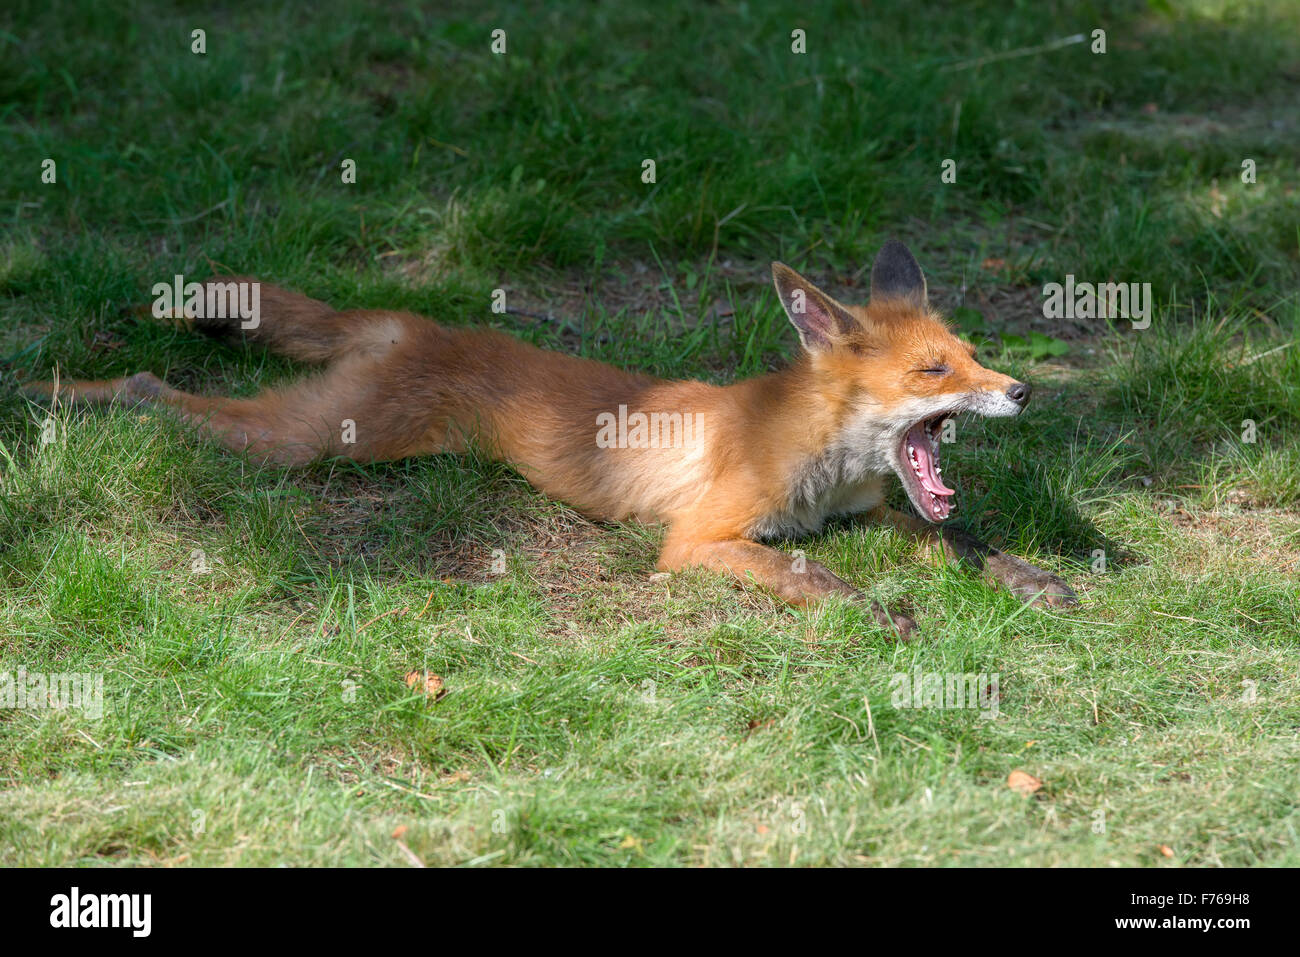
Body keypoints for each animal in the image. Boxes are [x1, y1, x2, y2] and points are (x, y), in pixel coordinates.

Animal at [24, 240, 1077, 638]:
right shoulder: (696, 540)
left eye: (972, 354)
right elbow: (810, 573)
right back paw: (57, 396)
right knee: (156, 390)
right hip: (315, 439)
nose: (1022, 388)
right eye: (933, 372)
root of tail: (413, 326)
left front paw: (1029, 576)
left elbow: (957, 534)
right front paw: (875, 611)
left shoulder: (867, 510)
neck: (817, 461)